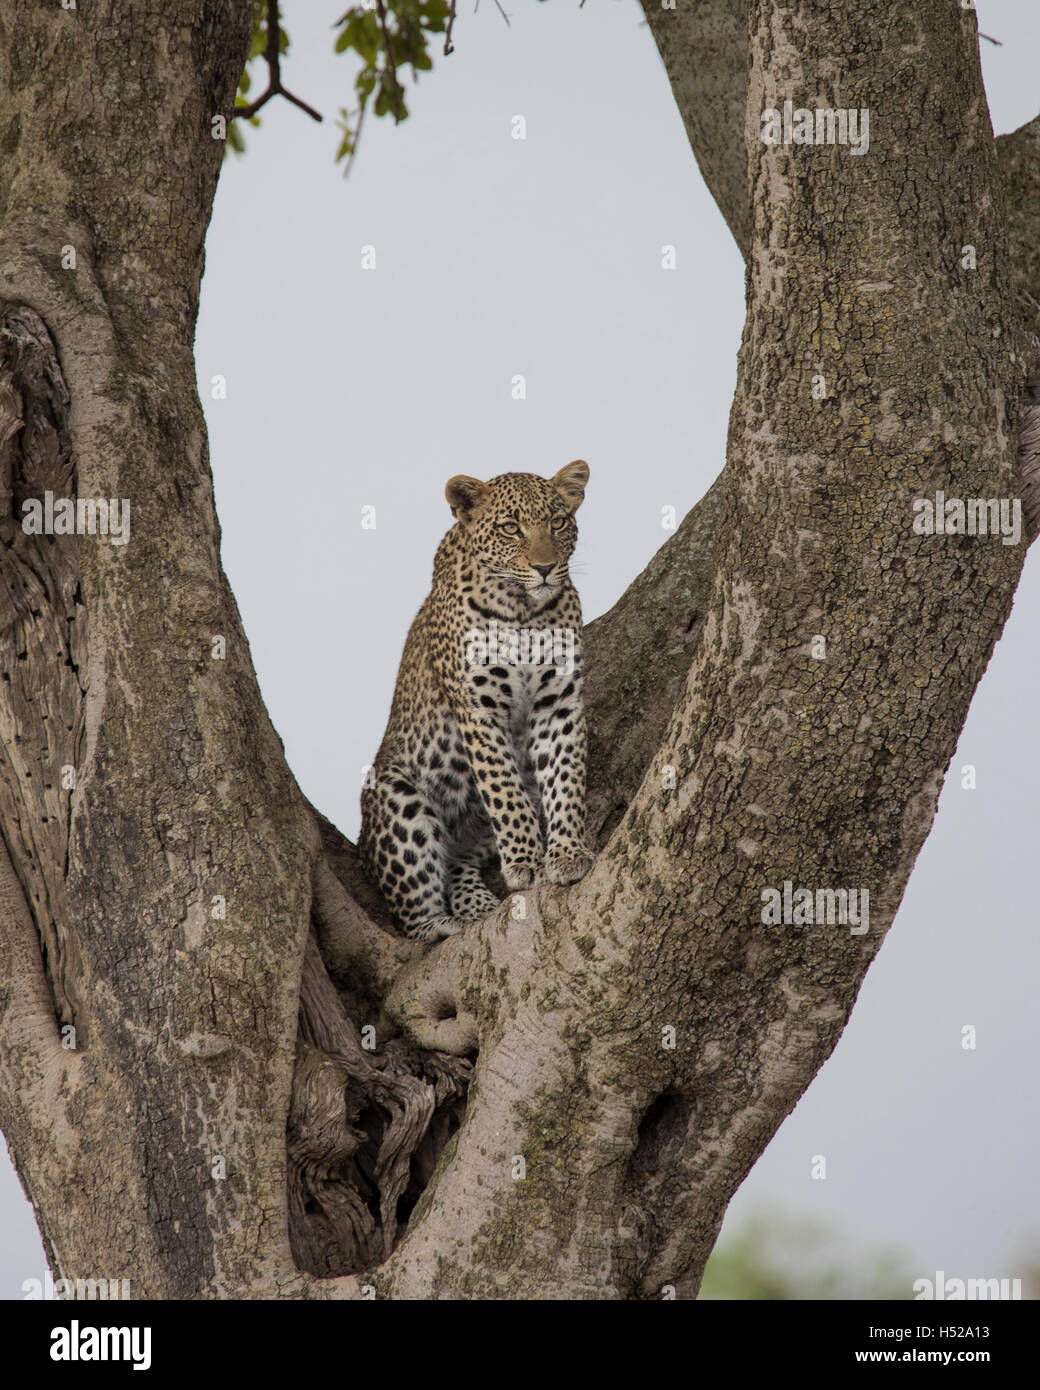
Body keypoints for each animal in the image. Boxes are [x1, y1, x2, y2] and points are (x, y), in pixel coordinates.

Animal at [359, 461, 594, 942]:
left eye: (558, 522)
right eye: (510, 528)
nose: (546, 568)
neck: (522, 610)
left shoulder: (558, 702)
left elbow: (565, 778)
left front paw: (566, 853)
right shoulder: (478, 710)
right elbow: (503, 791)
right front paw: (526, 861)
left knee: (459, 863)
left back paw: (476, 904)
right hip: (398, 798)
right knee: (414, 908)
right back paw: (442, 923)